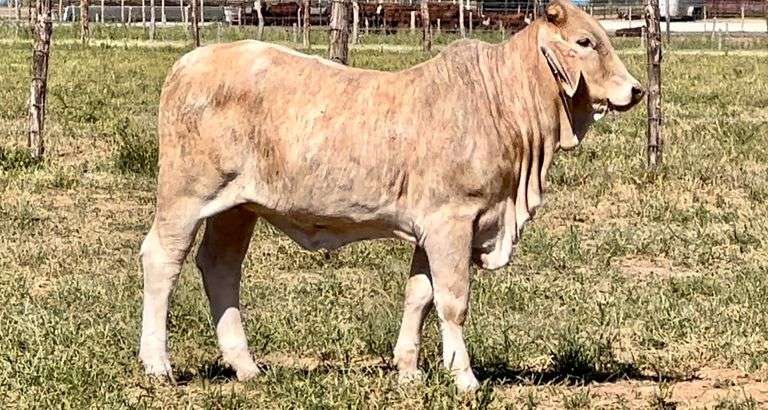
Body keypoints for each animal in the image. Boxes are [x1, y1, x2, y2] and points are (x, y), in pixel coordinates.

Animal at [138, 0, 644, 392]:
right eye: (585, 42)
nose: (637, 90)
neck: (502, 105)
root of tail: (189, 62)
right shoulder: (451, 220)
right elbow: (453, 299)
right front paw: (464, 377)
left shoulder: (429, 228)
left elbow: (419, 295)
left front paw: (408, 369)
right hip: (185, 196)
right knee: (163, 259)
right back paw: (158, 365)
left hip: (237, 207)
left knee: (220, 266)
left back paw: (246, 366)